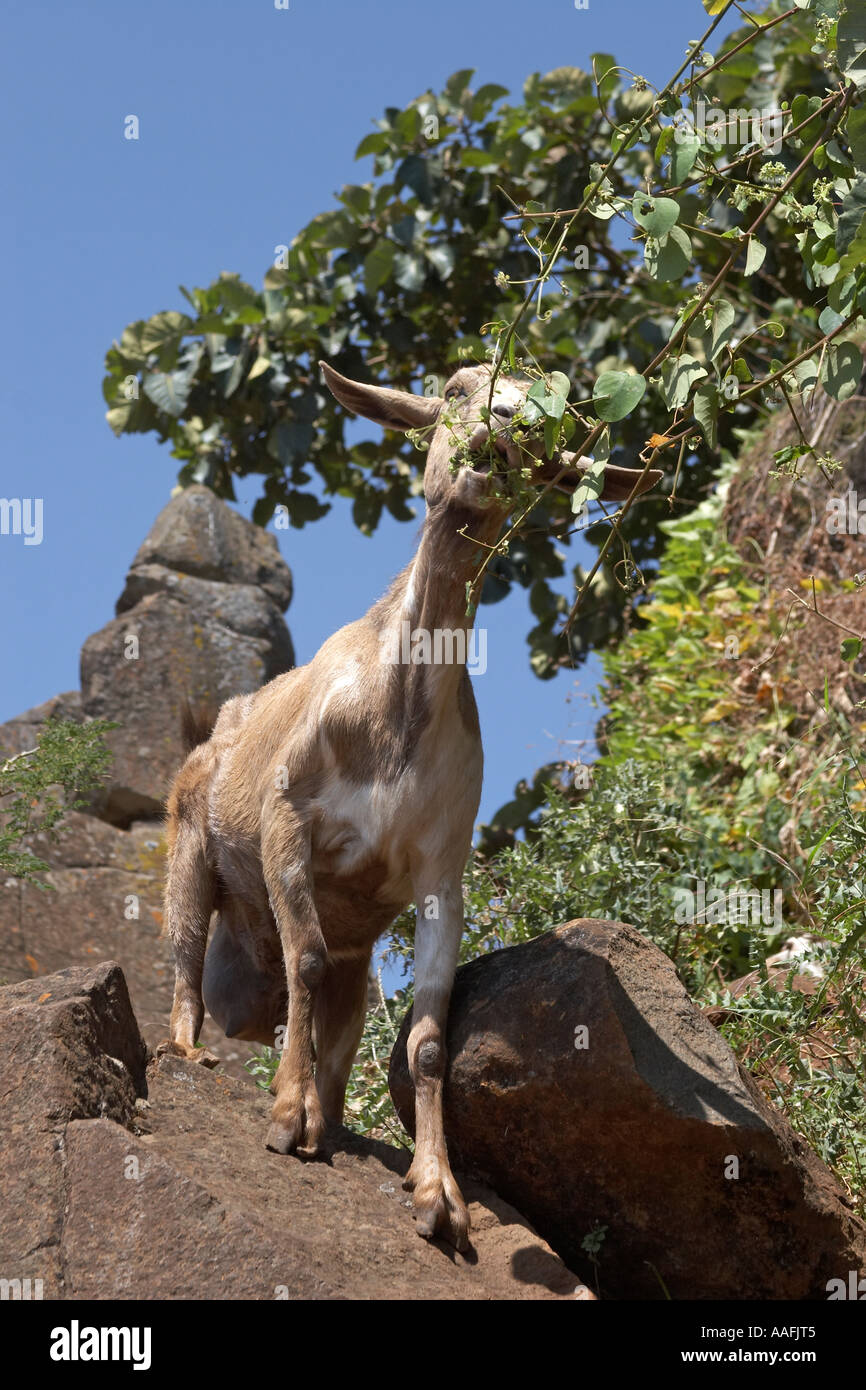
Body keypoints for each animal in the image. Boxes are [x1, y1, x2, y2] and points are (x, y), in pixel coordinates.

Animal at [158, 360, 663, 1250]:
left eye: (560, 425)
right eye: (459, 389)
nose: (507, 429)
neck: (394, 718)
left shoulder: (438, 873)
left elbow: (427, 1041)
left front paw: (438, 1195)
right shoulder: (288, 819)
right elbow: (305, 958)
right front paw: (283, 1117)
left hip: (357, 954)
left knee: (339, 1022)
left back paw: (328, 1116)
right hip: (188, 840)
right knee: (185, 958)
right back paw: (198, 1058)